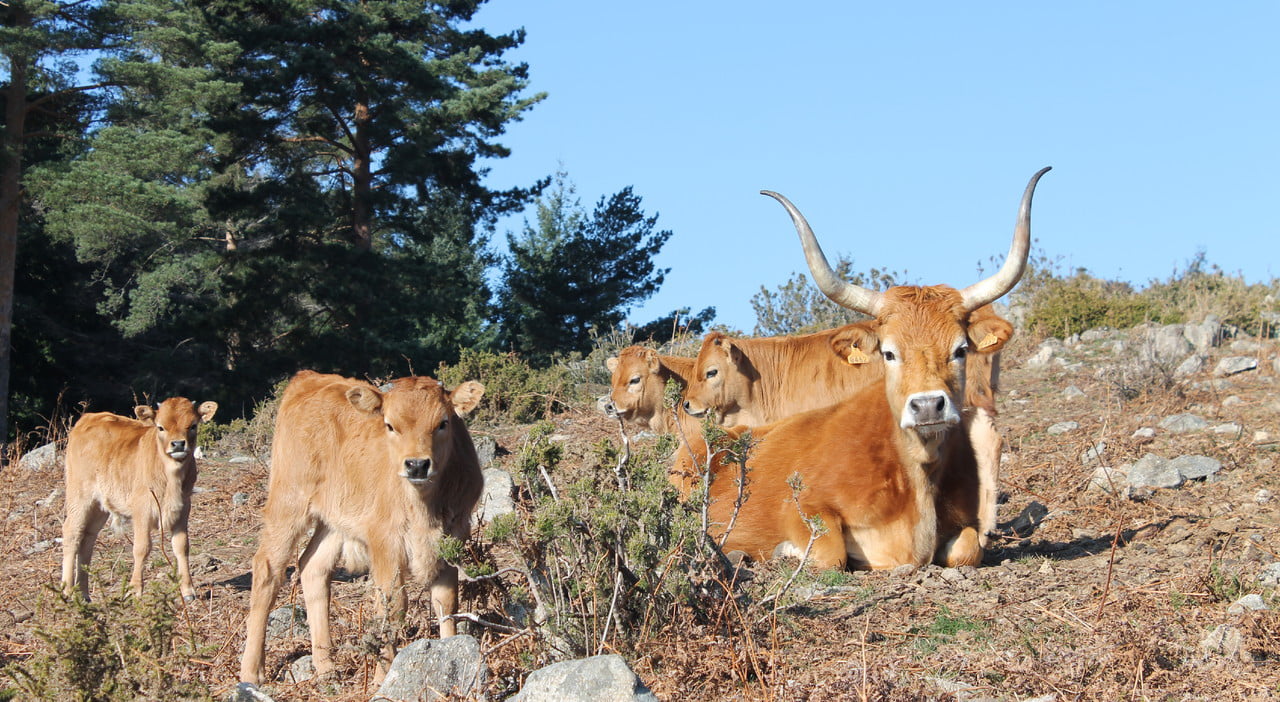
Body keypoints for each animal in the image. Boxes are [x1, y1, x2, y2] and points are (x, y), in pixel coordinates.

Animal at [61, 397, 219, 601]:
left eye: (193, 425)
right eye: (160, 427)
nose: (177, 444)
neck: (170, 478)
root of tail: (89, 418)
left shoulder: (183, 508)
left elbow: (182, 546)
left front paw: (188, 591)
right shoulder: (142, 509)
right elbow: (142, 548)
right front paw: (135, 589)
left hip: (99, 506)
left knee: (87, 538)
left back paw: (84, 594)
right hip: (79, 496)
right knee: (72, 533)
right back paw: (67, 590)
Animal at [239, 371, 485, 685]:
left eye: (443, 422)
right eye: (390, 425)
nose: (417, 464)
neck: (424, 508)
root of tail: (308, 377)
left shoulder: (453, 536)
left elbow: (446, 602)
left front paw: (449, 650)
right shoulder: (384, 541)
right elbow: (392, 606)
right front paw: (382, 677)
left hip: (334, 521)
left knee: (313, 567)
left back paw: (326, 666)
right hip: (288, 503)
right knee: (267, 570)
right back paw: (252, 671)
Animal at [703, 167, 1049, 570]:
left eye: (961, 349)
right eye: (888, 353)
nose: (927, 406)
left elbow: (969, 547)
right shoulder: (801, 506)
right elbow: (830, 553)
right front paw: (786, 551)